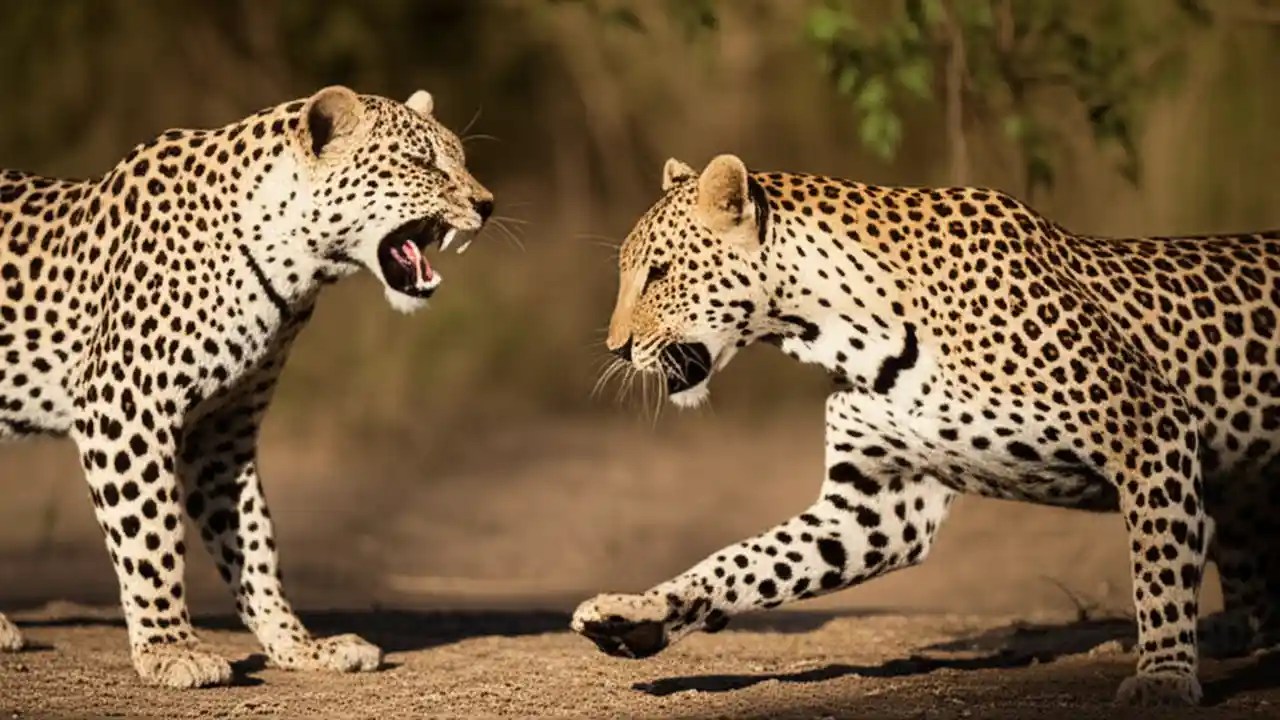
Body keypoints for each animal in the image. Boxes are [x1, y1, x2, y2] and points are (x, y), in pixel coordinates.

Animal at [0, 85, 493, 687]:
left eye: (461, 159)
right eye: (422, 163)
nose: (487, 205)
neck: (295, 268)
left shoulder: (222, 434)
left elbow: (253, 544)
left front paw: (300, 646)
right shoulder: (124, 407)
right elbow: (151, 537)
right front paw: (172, 648)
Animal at [572, 153, 1280, 706]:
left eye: (660, 273)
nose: (615, 348)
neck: (836, 333)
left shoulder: (1148, 423)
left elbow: (1157, 565)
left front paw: (1164, 674)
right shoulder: (876, 507)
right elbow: (742, 562)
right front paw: (639, 613)